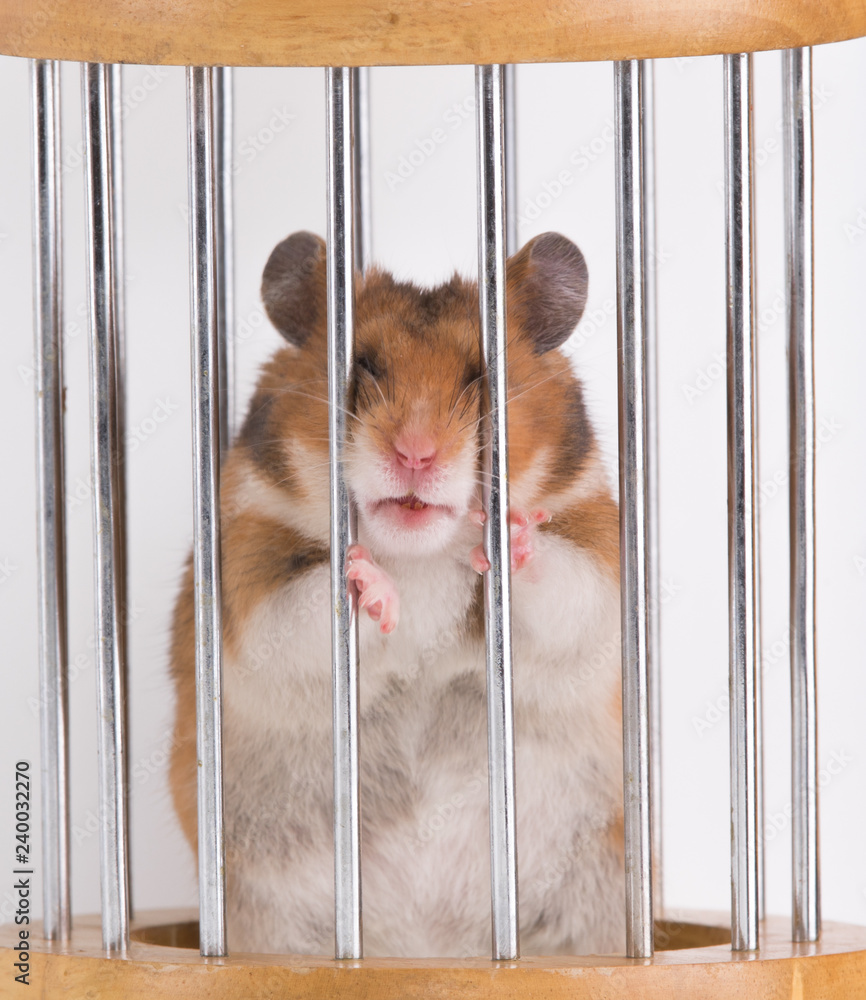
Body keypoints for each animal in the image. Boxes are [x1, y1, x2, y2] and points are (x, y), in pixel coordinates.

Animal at [169, 230, 624, 957]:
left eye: (478, 377)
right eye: (362, 367)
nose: (416, 454)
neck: (421, 558)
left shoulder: (594, 562)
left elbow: (561, 585)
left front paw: (503, 544)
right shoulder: (246, 570)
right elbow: (299, 610)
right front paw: (369, 585)